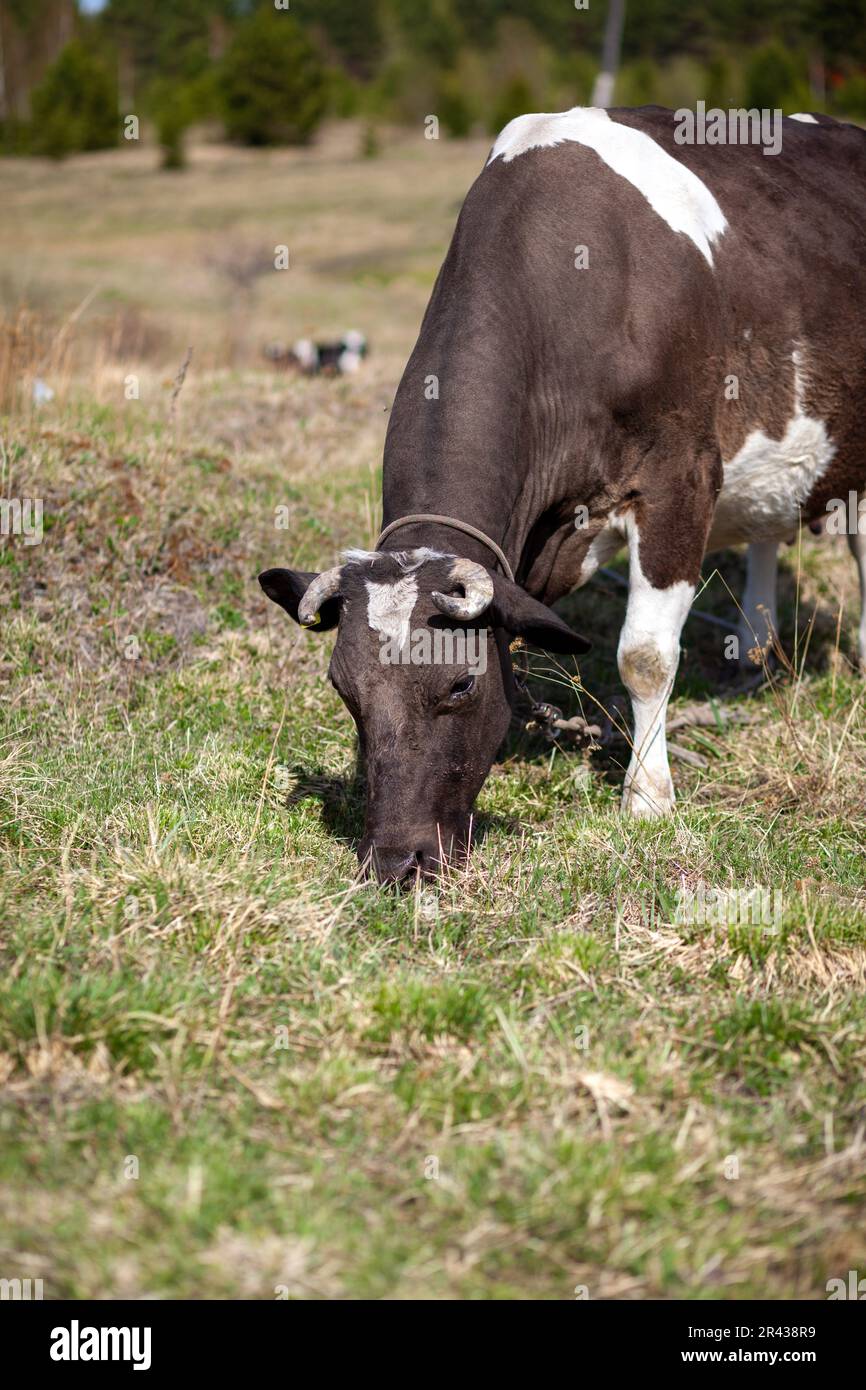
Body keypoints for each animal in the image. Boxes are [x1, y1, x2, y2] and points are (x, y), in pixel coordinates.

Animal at [260, 105, 866, 883]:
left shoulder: (681, 477)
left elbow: (645, 655)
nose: (397, 861)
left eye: (460, 685)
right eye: (344, 690)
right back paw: (755, 653)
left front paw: (647, 799)